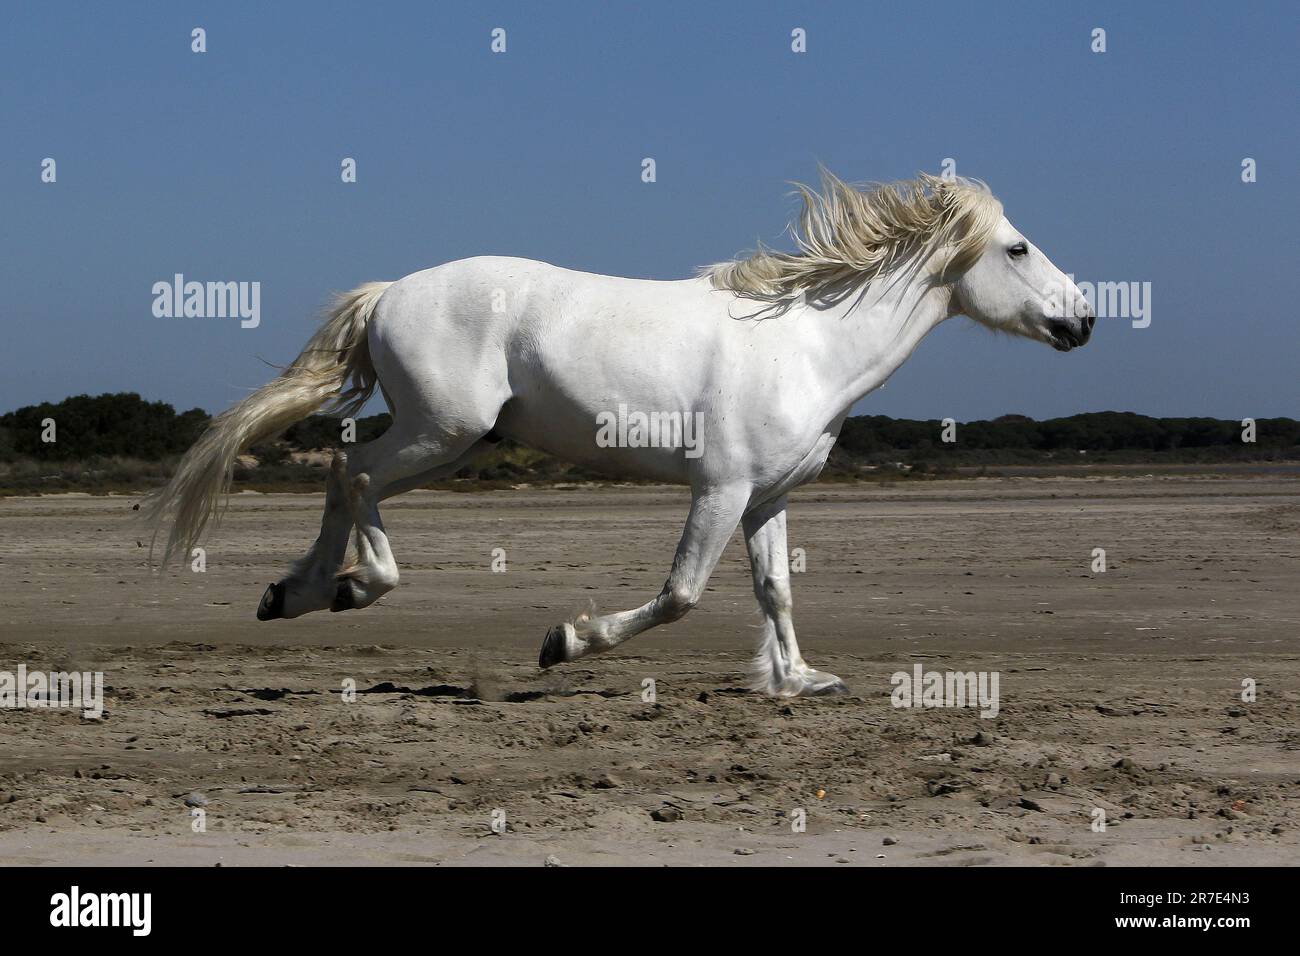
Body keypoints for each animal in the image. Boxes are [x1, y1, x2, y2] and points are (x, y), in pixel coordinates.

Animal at [145, 171, 1094, 697]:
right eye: (1017, 249)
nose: (1083, 319)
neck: (809, 343)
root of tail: (389, 293)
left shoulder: (766, 498)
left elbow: (776, 590)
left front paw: (796, 681)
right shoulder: (720, 489)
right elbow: (681, 595)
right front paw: (565, 642)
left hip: (450, 438)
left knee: (344, 469)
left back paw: (296, 592)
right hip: (441, 431)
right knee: (358, 474)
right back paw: (352, 586)